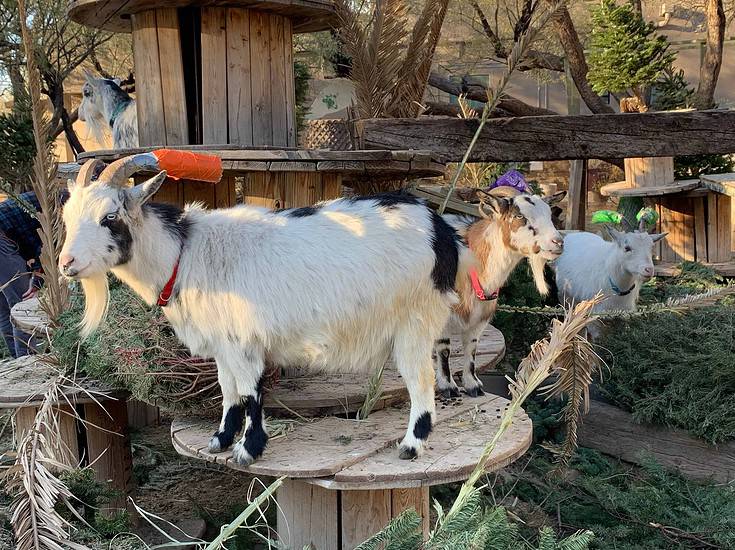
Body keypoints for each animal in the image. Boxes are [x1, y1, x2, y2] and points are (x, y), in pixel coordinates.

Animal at [59, 157, 470, 466]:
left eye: (110, 216)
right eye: (67, 216)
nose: (66, 264)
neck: (186, 255)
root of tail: (440, 230)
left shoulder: (244, 341)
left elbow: (249, 393)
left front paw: (249, 448)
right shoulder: (222, 343)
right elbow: (227, 389)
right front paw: (221, 439)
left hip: (415, 320)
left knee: (421, 380)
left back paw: (412, 444)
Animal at [434, 187, 566, 398]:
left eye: (549, 214)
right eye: (519, 215)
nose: (558, 242)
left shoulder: (480, 318)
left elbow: (471, 348)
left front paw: (473, 386)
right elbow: (444, 350)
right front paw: (448, 387)